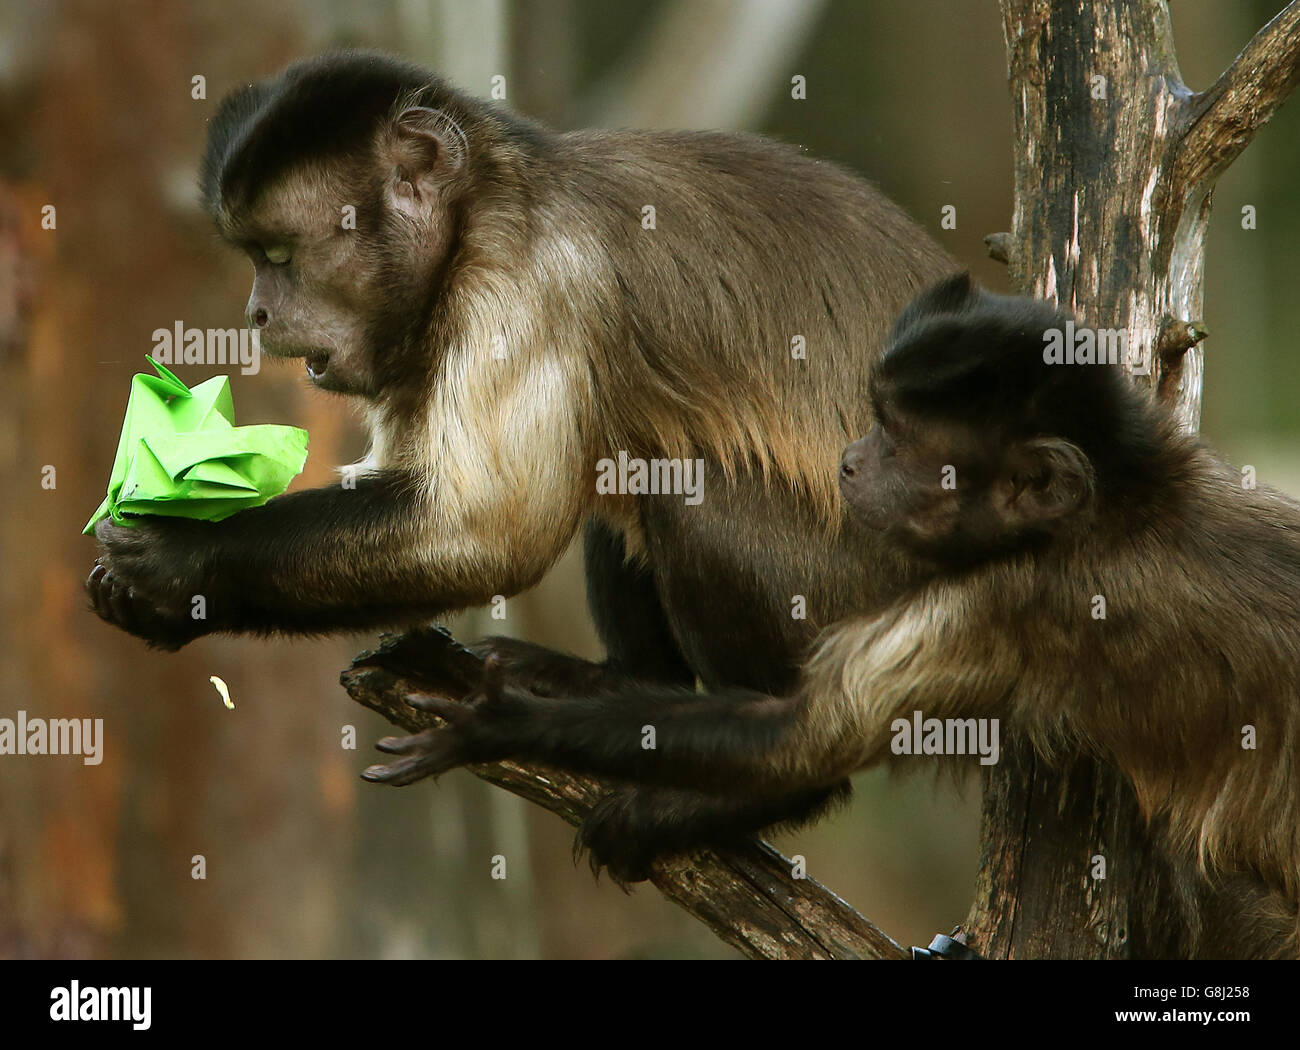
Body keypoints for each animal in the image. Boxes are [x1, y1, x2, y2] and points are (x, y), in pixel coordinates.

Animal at [85, 52, 956, 851]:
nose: (257, 312)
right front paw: (168, 606)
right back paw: (618, 691)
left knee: (686, 480)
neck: (489, 203)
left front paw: (184, 556)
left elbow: (486, 534)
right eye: (257, 262)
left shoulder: (527, 285)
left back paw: (769, 783)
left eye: (280, 257)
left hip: (866, 612)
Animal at [365, 273, 1300, 955]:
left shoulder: (1013, 597)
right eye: (875, 424)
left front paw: (495, 724)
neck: (1123, 501)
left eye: (896, 438)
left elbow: (803, 736)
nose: (850, 459)